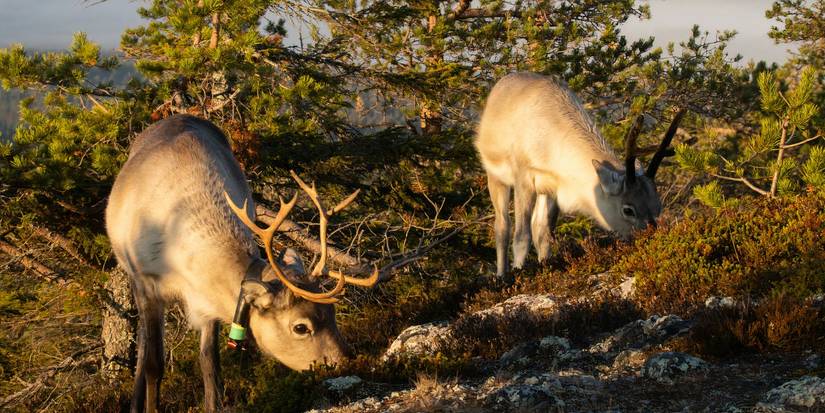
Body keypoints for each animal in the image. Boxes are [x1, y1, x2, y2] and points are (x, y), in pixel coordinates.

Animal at [106, 114, 379, 413]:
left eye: (332, 313)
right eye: (300, 327)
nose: (348, 360)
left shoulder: (206, 304)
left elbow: (210, 366)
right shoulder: (148, 284)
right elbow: (154, 365)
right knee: (143, 353)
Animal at [475, 72, 685, 277]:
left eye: (658, 206)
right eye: (628, 209)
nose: (650, 239)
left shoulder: (553, 187)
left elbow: (544, 234)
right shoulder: (524, 178)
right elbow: (521, 237)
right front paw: (519, 273)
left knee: (537, 228)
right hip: (495, 175)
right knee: (502, 226)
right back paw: (502, 276)